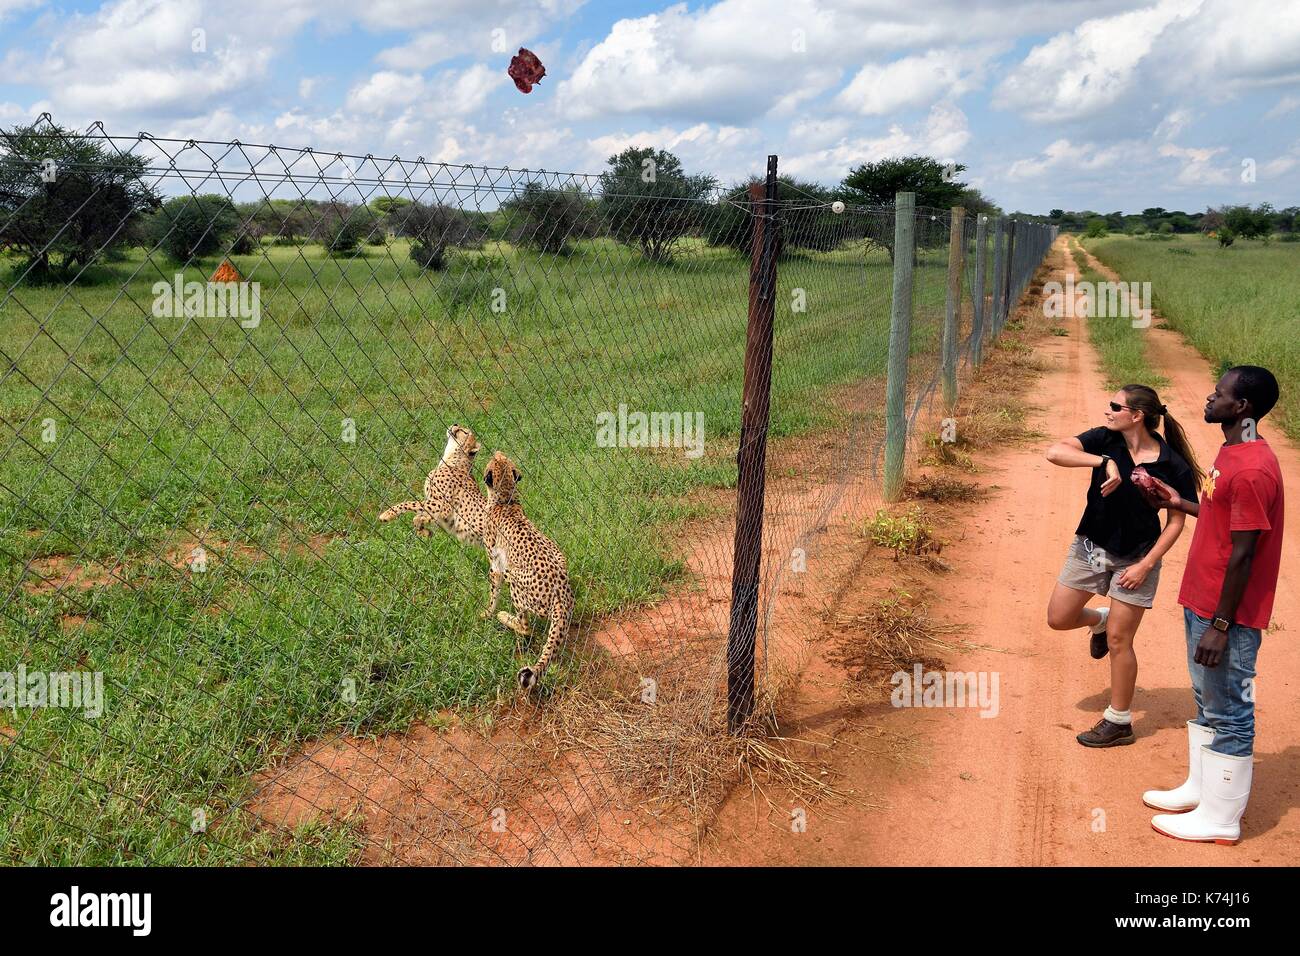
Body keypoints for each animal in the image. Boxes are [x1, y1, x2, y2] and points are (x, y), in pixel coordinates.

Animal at [479, 451, 574, 691]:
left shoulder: (496, 566)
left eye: (496, 460)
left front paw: (487, 613)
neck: (506, 499)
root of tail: (563, 592)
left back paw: (505, 617)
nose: (496, 451)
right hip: (559, 555)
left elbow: (492, 594)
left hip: (513, 576)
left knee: (525, 627)